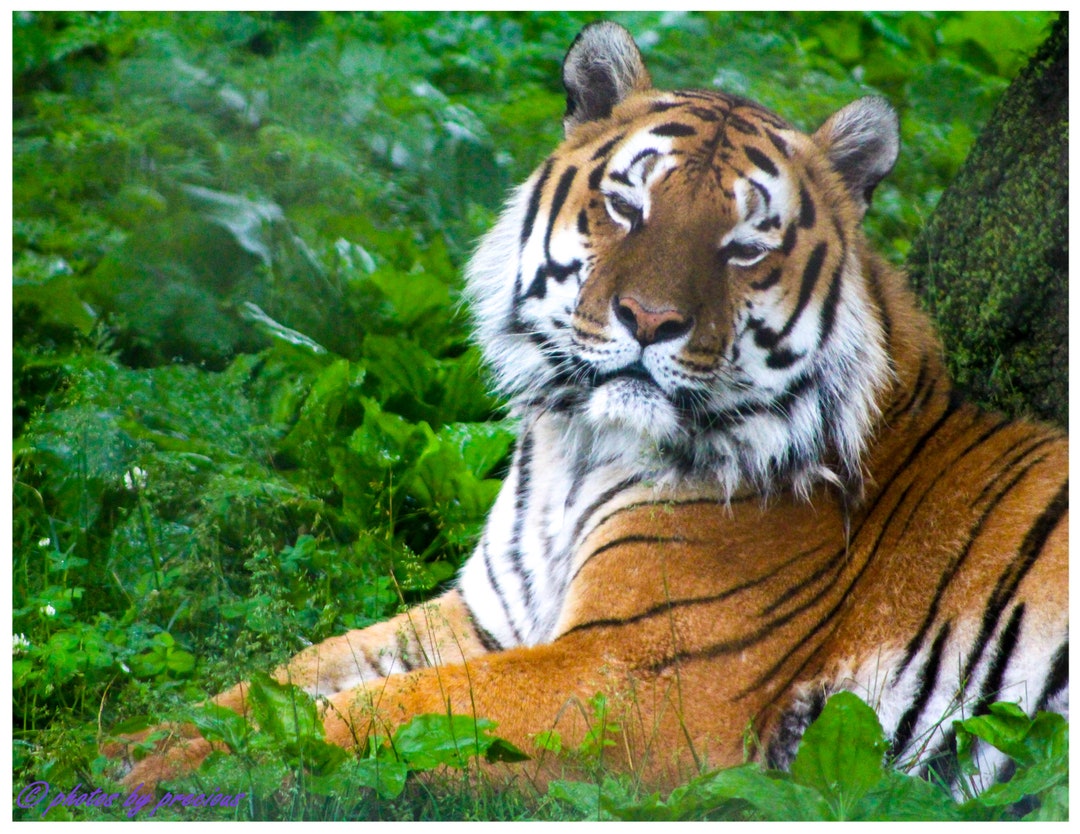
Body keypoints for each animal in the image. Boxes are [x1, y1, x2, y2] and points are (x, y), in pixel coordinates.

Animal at [113, 21, 1067, 793]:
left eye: (745, 247)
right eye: (625, 206)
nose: (649, 319)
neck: (579, 447)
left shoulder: (631, 676)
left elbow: (377, 712)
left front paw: (178, 774)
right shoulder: (485, 617)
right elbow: (296, 673)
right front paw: (124, 743)